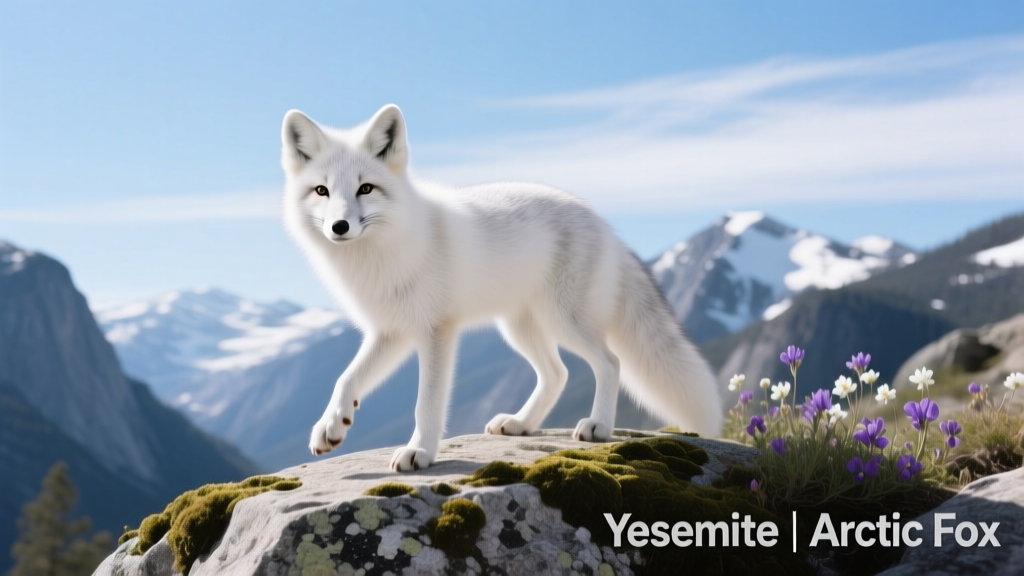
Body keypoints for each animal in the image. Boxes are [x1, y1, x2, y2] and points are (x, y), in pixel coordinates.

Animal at [280, 104, 723, 471]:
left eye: (365, 189)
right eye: (322, 191)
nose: (339, 227)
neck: (381, 254)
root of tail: (606, 227)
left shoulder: (436, 330)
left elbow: (427, 404)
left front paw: (420, 452)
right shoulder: (391, 331)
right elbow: (346, 379)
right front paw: (332, 426)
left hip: (564, 321)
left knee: (610, 363)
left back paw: (598, 425)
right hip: (520, 328)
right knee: (558, 374)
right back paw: (521, 423)